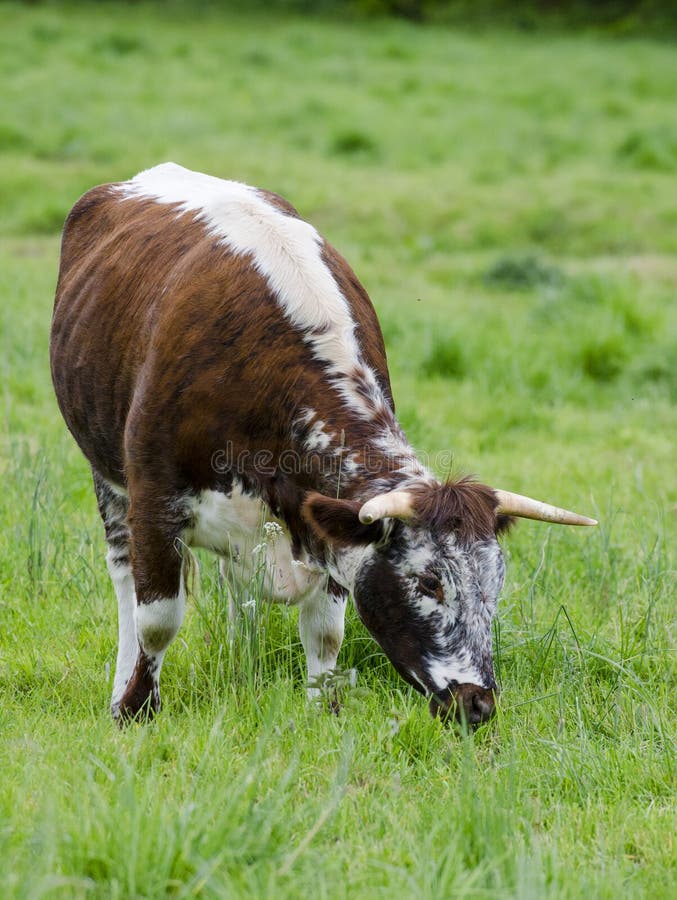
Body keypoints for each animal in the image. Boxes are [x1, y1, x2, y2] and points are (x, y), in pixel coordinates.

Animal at [50, 163, 596, 726]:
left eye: (496, 582)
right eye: (429, 582)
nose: (477, 701)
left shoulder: (328, 519)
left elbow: (325, 632)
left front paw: (322, 710)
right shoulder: (156, 502)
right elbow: (157, 618)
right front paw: (135, 708)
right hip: (108, 478)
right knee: (124, 580)